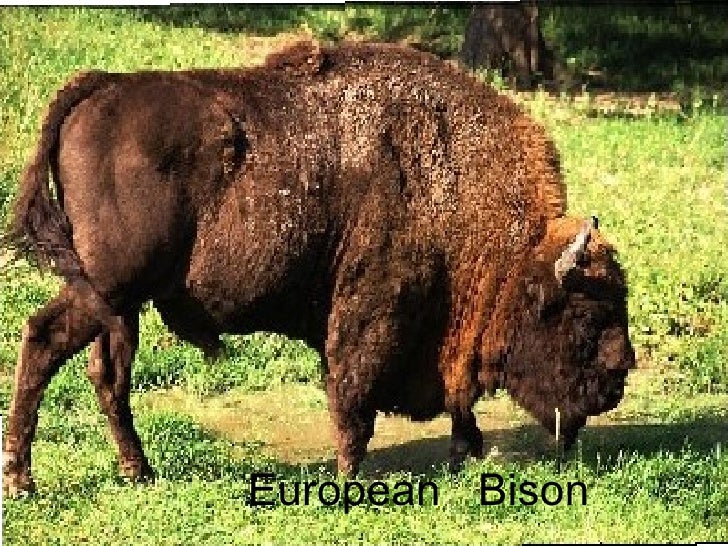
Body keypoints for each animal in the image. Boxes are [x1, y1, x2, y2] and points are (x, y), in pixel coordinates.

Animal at [2, 41, 635, 494]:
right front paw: (350, 476)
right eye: (588, 315)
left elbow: (455, 397)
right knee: (42, 340)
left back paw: (139, 472)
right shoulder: (374, 310)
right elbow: (352, 393)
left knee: (107, 373)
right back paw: (23, 481)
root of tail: (101, 85)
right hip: (104, 286)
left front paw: (467, 452)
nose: (619, 376)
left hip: (121, 304)